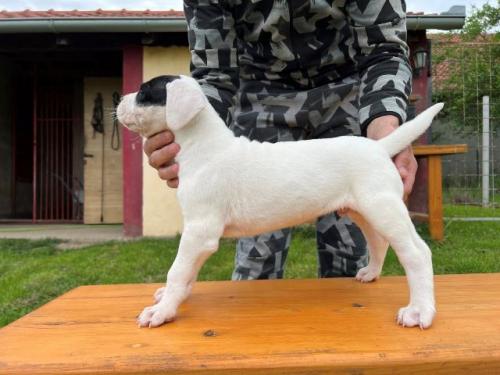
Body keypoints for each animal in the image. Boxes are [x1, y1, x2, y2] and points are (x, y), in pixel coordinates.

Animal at [116, 75, 442, 330]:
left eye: (144, 93)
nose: (119, 100)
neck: (204, 146)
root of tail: (379, 147)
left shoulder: (199, 231)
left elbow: (178, 270)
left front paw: (161, 312)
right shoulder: (197, 234)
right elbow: (187, 272)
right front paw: (174, 299)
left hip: (383, 207)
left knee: (417, 253)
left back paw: (419, 311)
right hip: (363, 209)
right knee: (378, 241)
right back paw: (371, 273)